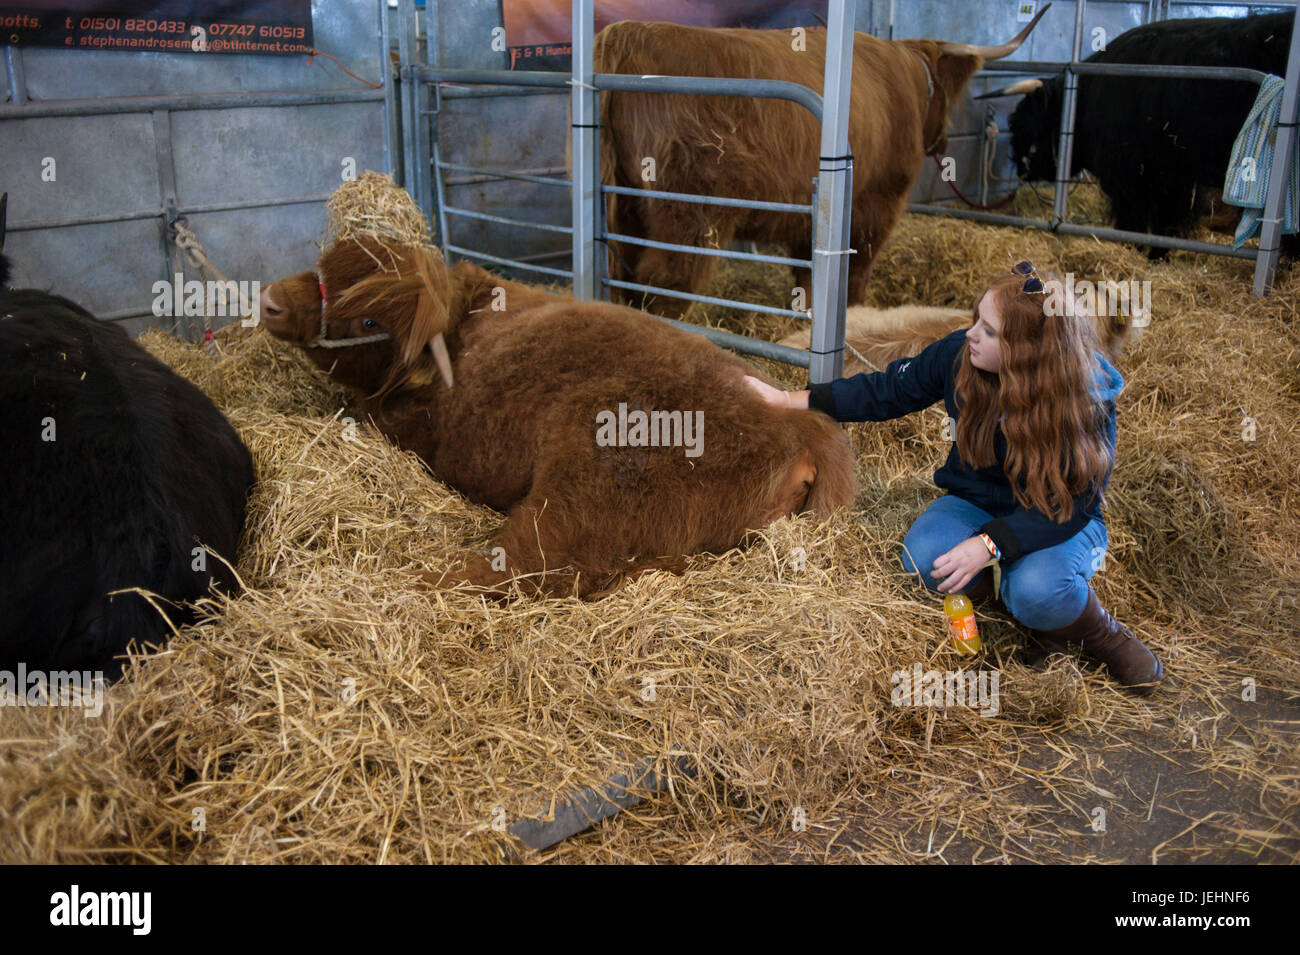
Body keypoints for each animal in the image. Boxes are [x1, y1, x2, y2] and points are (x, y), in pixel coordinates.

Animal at [258, 236, 857, 599]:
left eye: (368, 318)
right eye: (323, 264)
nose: (270, 298)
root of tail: (805, 430)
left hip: (584, 491)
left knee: (527, 564)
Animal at [593, 7, 1051, 318]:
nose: (940, 139)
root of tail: (624, 34)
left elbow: (809, 275)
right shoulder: (877, 201)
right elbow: (857, 269)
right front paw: (855, 313)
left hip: (627, 207)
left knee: (624, 276)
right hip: (689, 211)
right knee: (662, 284)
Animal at [998, 11, 1295, 254]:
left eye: (1027, 123)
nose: (1019, 166)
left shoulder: (1138, 176)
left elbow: (1144, 222)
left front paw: (1144, 251)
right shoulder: (1172, 177)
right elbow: (1164, 222)